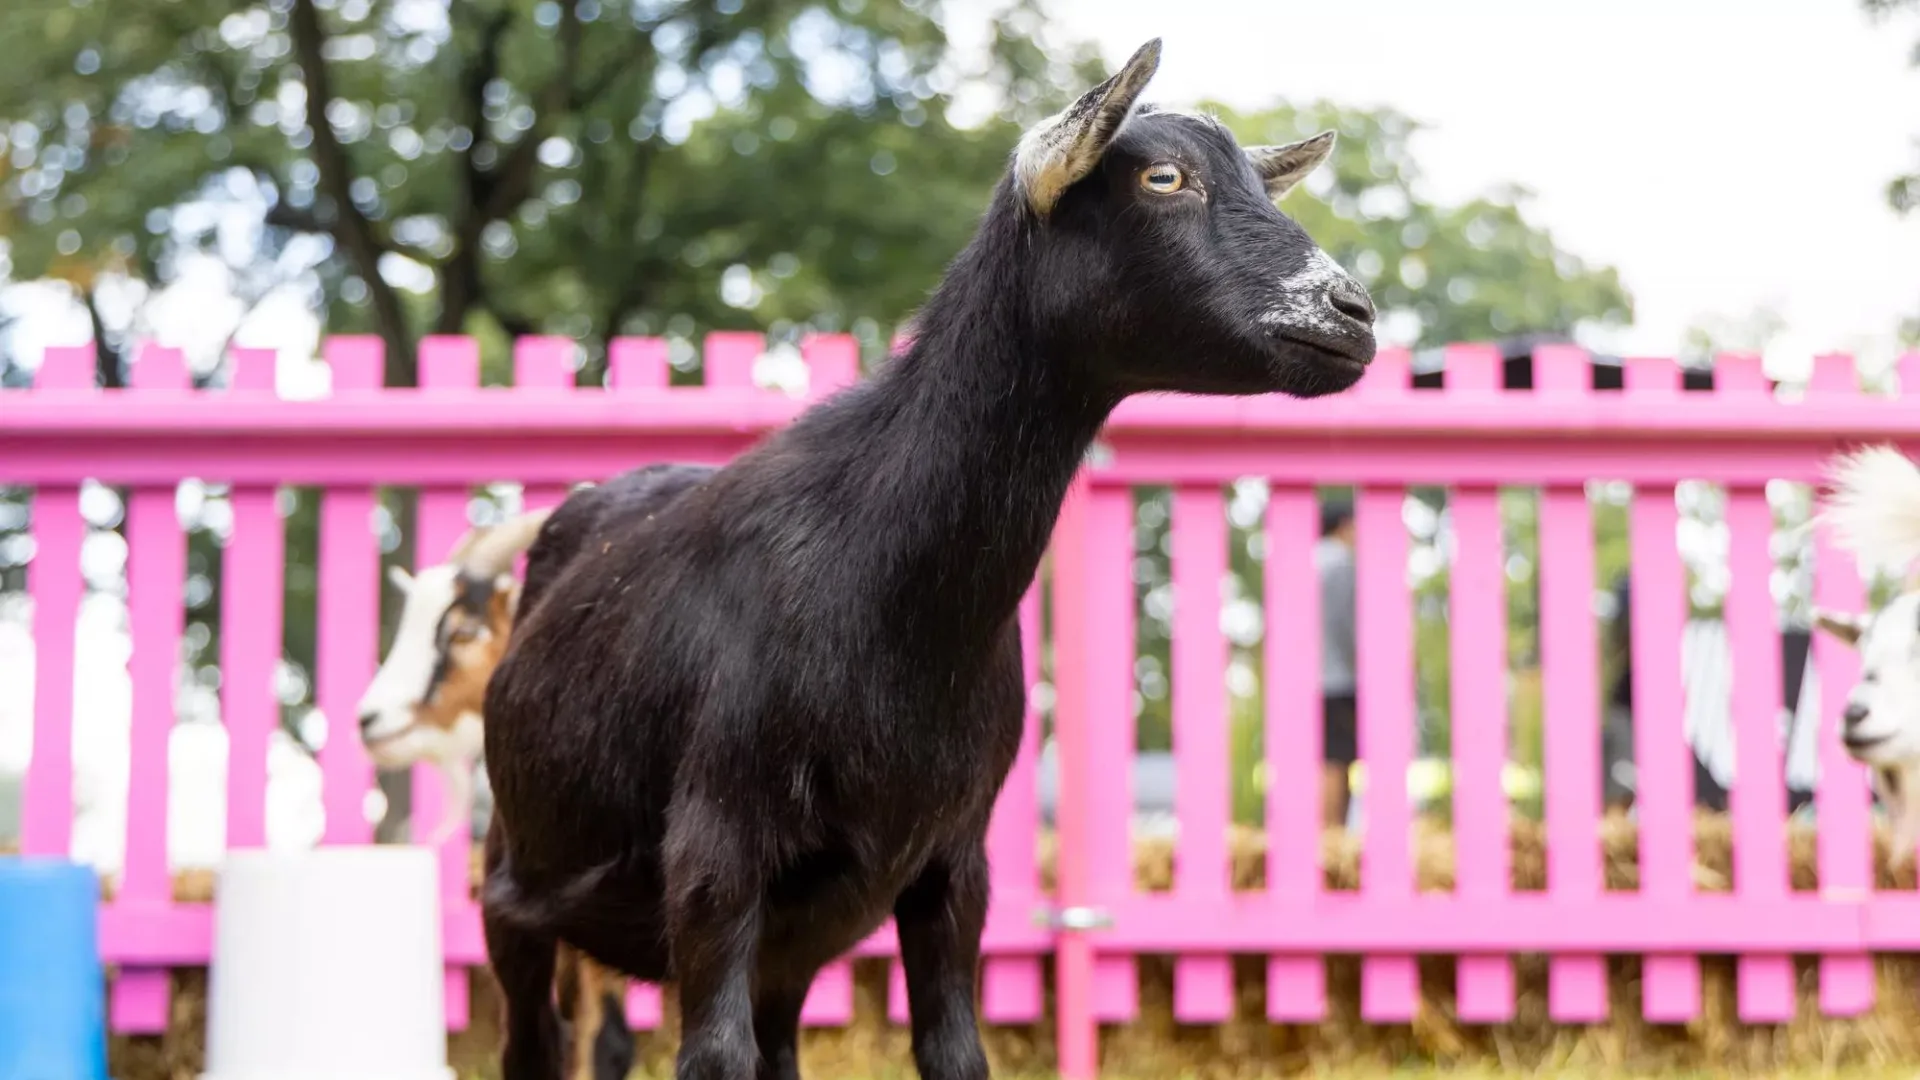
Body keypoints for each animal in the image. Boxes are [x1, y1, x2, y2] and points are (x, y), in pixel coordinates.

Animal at [479, 38, 1377, 1080]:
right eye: (1164, 178)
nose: (1352, 312)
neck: (884, 581)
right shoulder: (715, 848)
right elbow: (714, 1057)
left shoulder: (953, 858)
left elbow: (954, 1050)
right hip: (515, 884)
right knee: (534, 1038)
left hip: (800, 931)